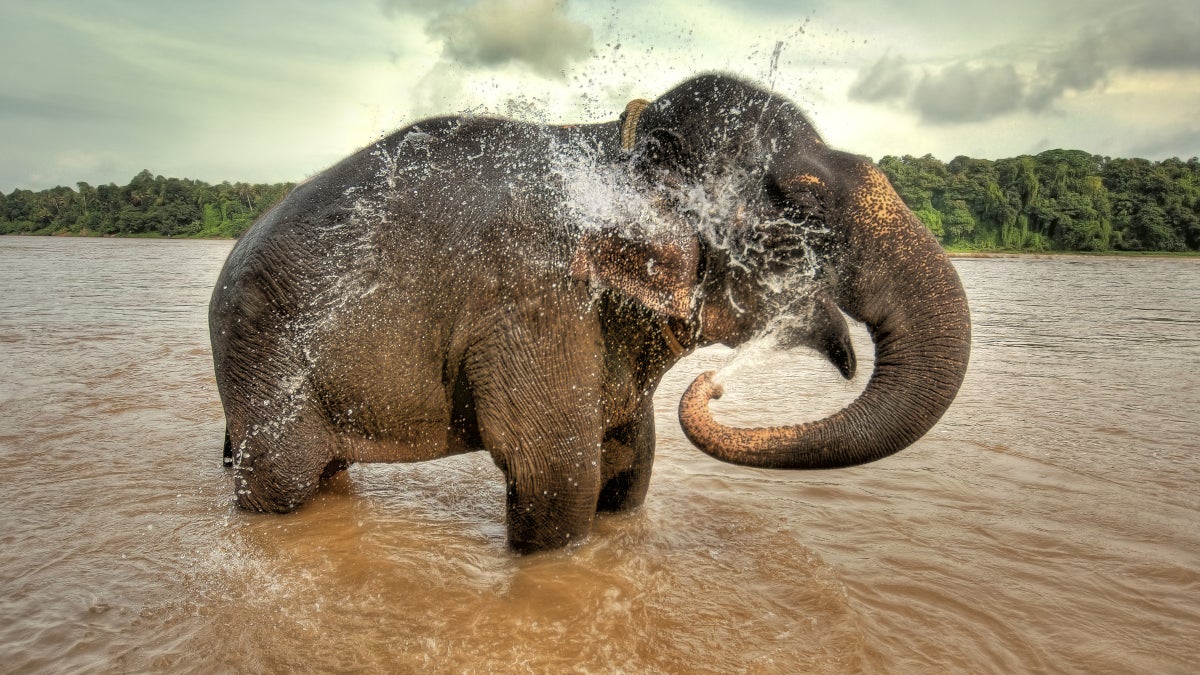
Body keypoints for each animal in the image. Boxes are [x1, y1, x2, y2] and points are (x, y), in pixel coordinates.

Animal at [210, 73, 971, 553]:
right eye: (804, 204)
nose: (717, 387)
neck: (616, 141)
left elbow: (631, 466)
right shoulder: (534, 298)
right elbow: (556, 475)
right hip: (261, 356)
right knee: (282, 482)